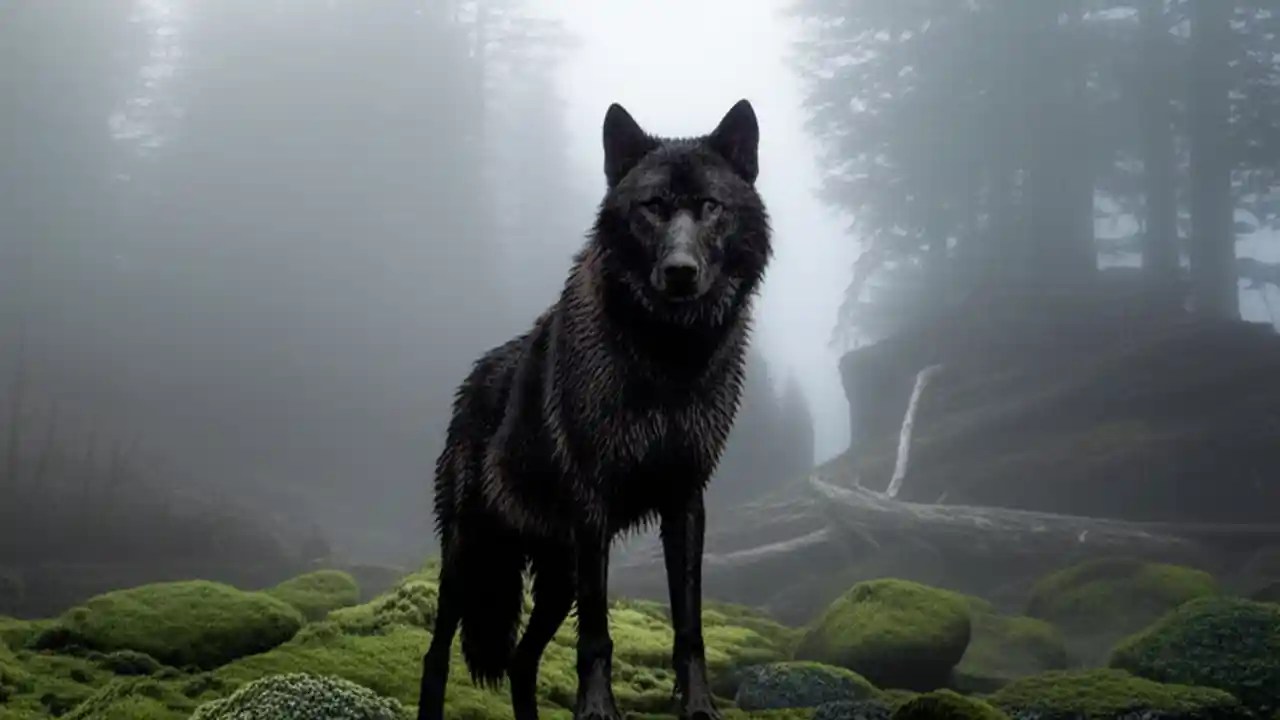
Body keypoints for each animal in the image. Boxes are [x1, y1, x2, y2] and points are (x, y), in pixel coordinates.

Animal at [417, 99, 771, 720]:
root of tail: (473, 376)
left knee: (522, 661)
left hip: (556, 577)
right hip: (469, 559)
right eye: (653, 207)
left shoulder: (686, 500)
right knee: (436, 658)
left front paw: (698, 707)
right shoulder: (593, 505)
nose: (681, 271)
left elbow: (689, 626)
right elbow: (598, 633)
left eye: (710, 206)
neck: (665, 360)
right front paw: (598, 710)